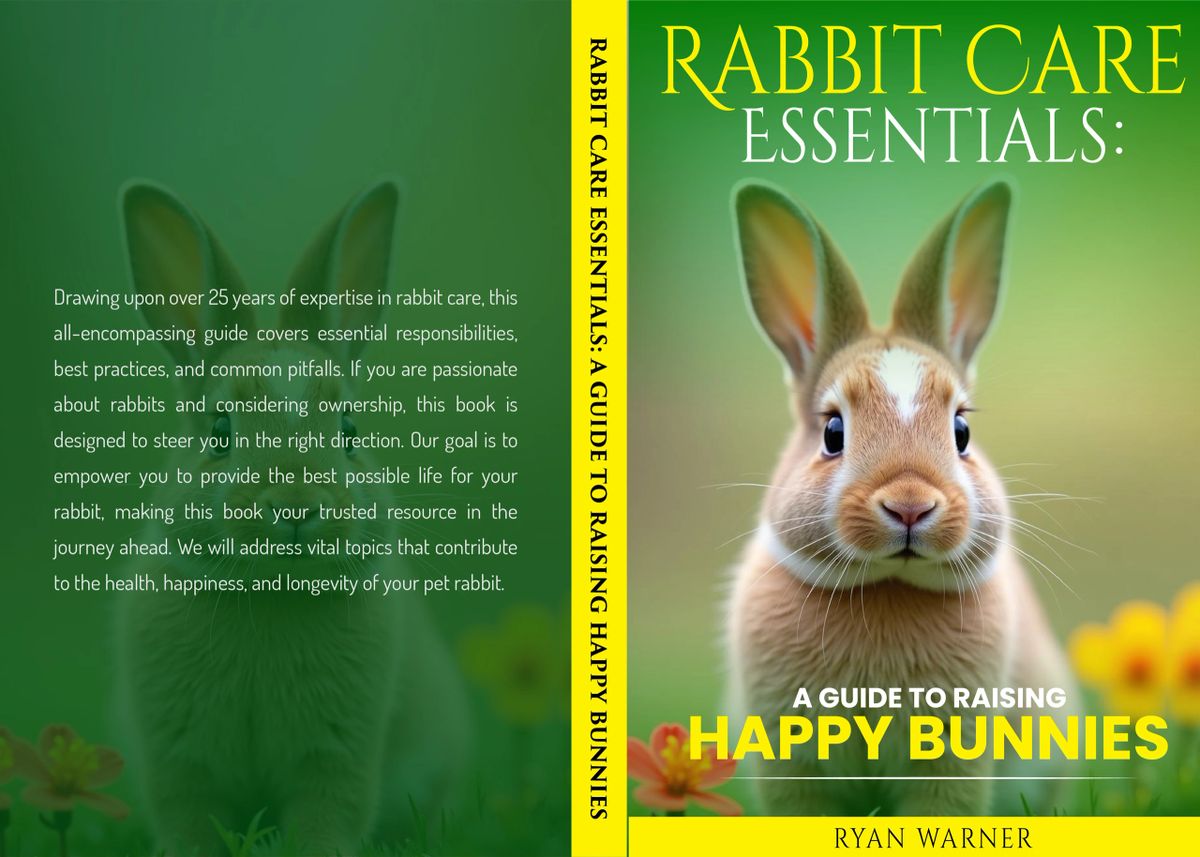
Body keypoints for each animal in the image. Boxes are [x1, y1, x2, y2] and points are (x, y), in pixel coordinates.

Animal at [113, 180, 469, 855]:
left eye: (350, 432)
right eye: (220, 431)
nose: (297, 507)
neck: (270, 594)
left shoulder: (335, 760)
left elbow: (325, 822)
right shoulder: (179, 764)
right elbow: (190, 822)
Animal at [725, 180, 1079, 817]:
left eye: (961, 431)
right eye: (832, 433)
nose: (910, 505)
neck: (887, 586)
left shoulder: (950, 761)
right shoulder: (793, 763)